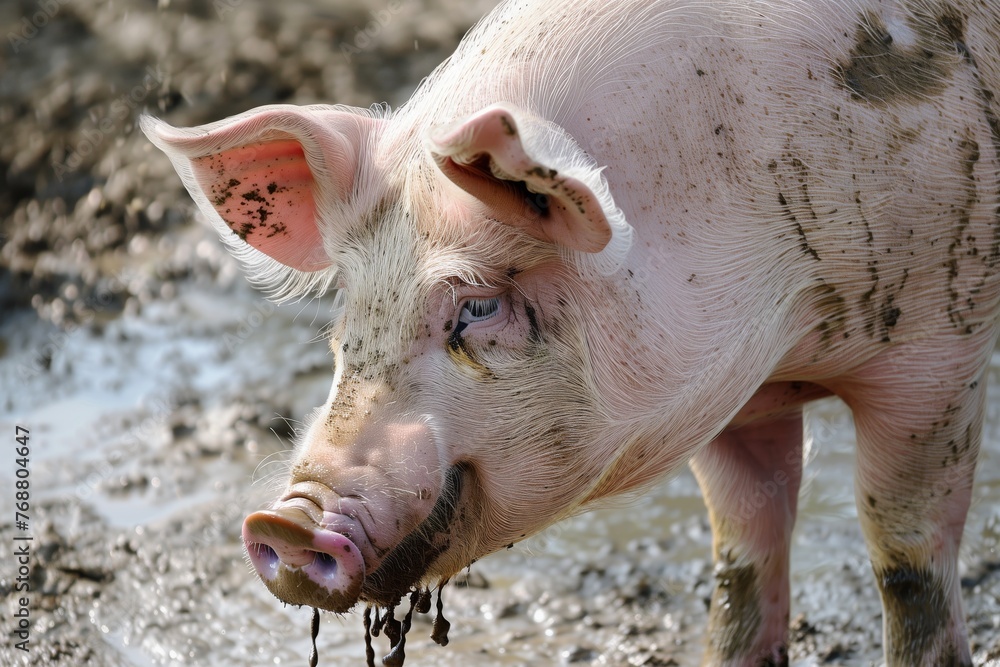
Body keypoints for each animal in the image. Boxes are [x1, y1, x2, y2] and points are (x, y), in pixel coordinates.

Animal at [141, 0, 1000, 664]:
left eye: (477, 308)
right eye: (355, 305)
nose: (286, 520)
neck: (789, 325)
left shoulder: (941, 339)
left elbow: (906, 554)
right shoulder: (730, 395)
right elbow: (743, 550)